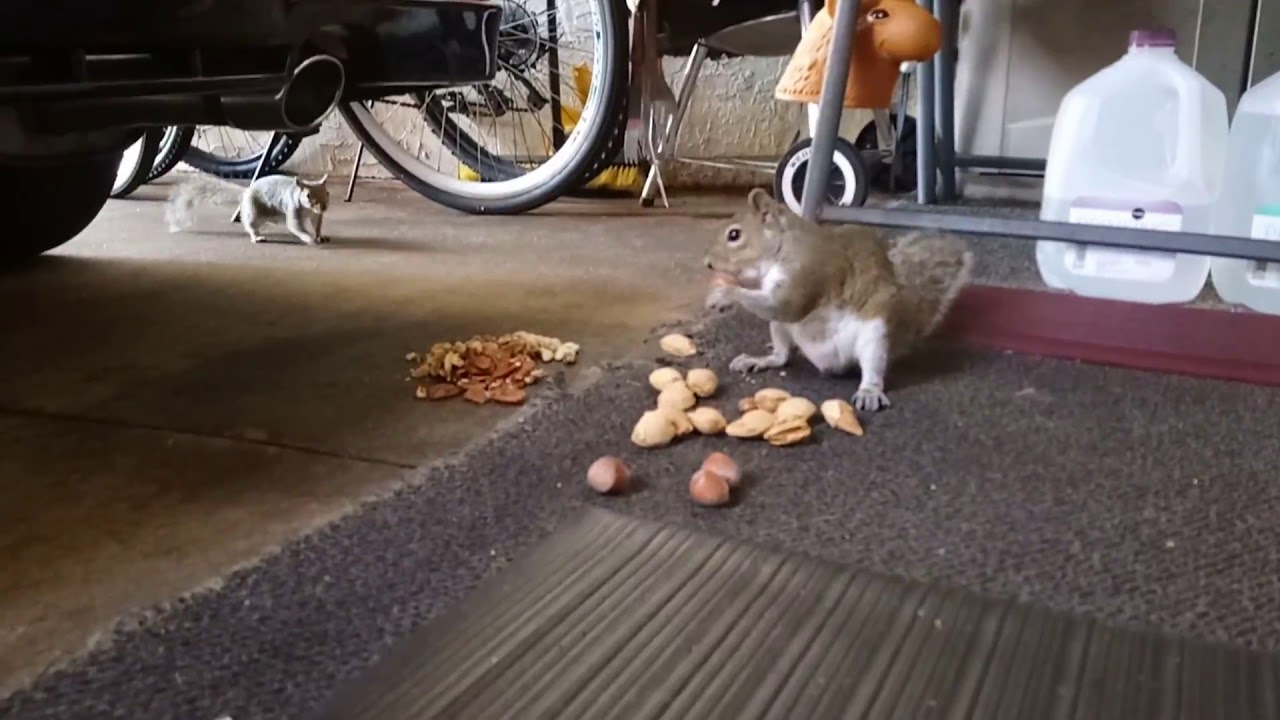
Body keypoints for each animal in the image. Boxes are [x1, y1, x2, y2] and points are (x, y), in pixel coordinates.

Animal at [165, 173, 330, 246]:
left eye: (327, 192)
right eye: (308, 195)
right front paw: (309, 238)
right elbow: (295, 226)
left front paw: (319, 236)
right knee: (250, 226)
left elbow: (317, 225)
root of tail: (244, 193)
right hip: (253, 210)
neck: (309, 210)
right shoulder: (292, 208)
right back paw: (257, 237)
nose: (324, 207)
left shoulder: (316, 215)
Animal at [704, 188, 974, 412]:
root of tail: (829, 364)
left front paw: (725, 295)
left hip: (875, 335)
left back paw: (869, 391)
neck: (784, 247)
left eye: (734, 235)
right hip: (780, 328)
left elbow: (787, 305)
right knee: (782, 356)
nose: (707, 263)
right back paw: (759, 359)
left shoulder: (809, 271)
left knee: (872, 368)